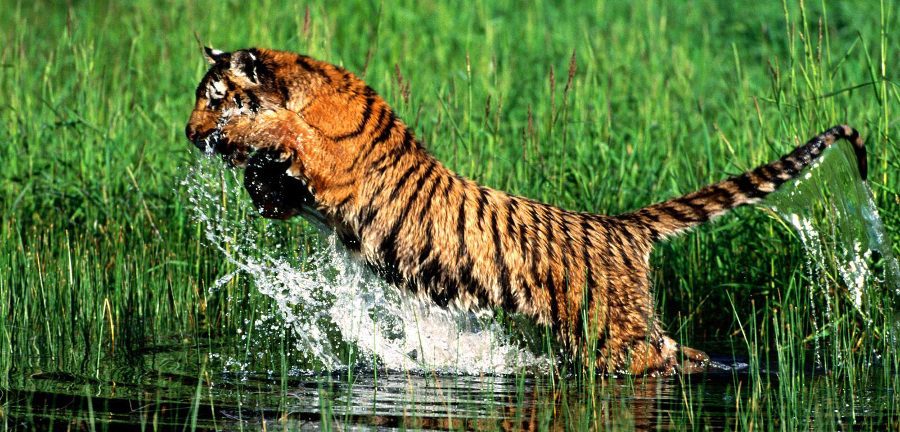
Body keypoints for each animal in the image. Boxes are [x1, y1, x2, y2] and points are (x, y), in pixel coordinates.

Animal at [185, 47, 868, 375]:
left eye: (213, 99)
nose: (190, 135)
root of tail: (622, 227)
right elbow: (276, 179)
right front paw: (258, 183)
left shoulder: (337, 165)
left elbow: (288, 134)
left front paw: (249, 140)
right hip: (620, 328)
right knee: (680, 348)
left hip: (614, 336)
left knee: (659, 357)